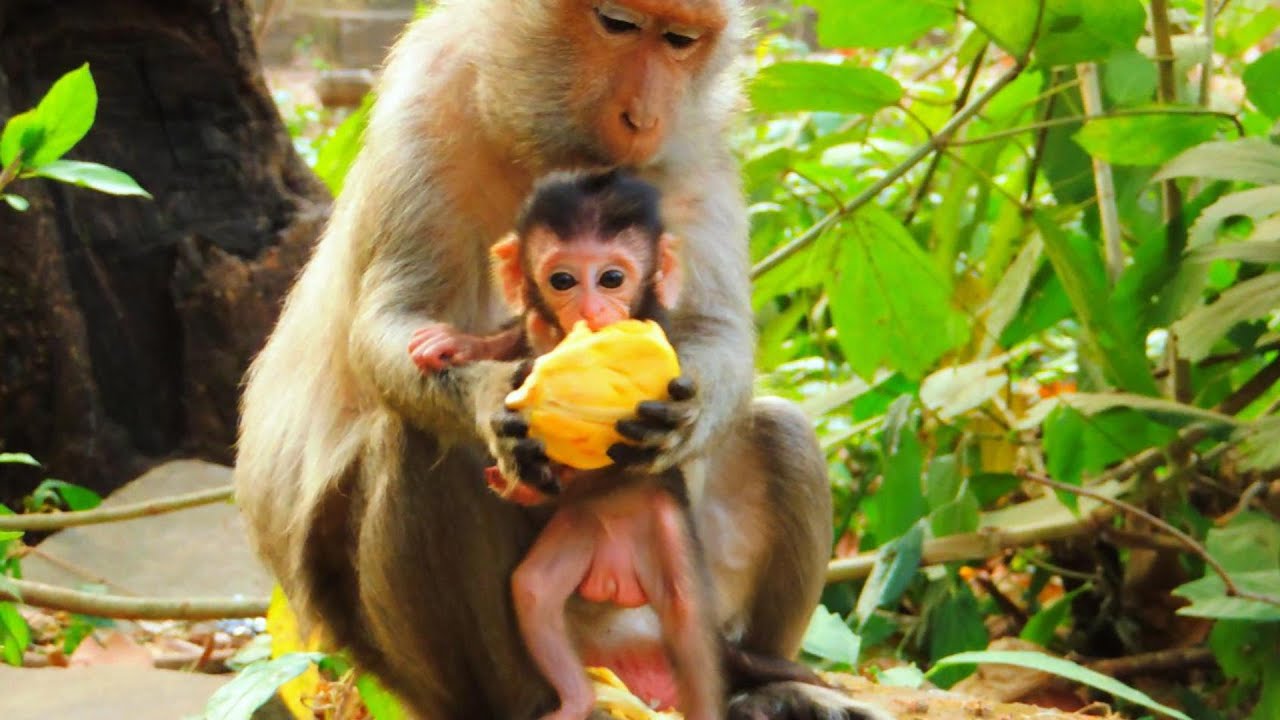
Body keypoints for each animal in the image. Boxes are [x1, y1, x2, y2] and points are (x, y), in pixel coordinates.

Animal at [234, 2, 895, 719]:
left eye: (679, 40)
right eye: (616, 25)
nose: (643, 118)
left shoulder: (695, 143)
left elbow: (716, 329)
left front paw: (680, 420)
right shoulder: (426, 105)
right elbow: (394, 319)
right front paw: (488, 397)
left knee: (780, 431)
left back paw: (759, 683)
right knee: (416, 442)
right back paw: (529, 703)